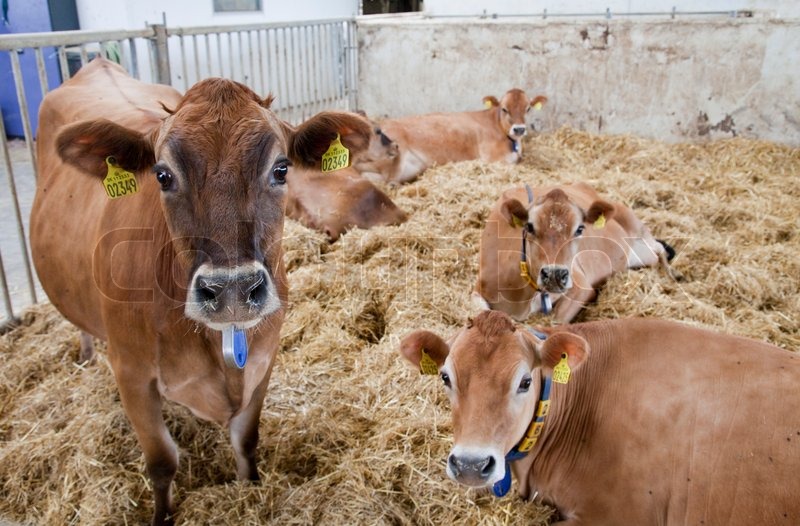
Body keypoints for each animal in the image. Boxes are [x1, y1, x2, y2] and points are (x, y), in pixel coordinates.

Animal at [29, 57, 371, 525]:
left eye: (281, 169)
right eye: (162, 174)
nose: (233, 289)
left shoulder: (264, 359)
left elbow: (246, 440)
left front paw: (251, 491)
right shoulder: (130, 371)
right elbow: (161, 462)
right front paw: (162, 516)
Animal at [473, 181, 678, 324]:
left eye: (579, 229)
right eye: (529, 227)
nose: (555, 274)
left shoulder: (581, 285)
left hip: (639, 244)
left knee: (658, 250)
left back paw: (674, 275)